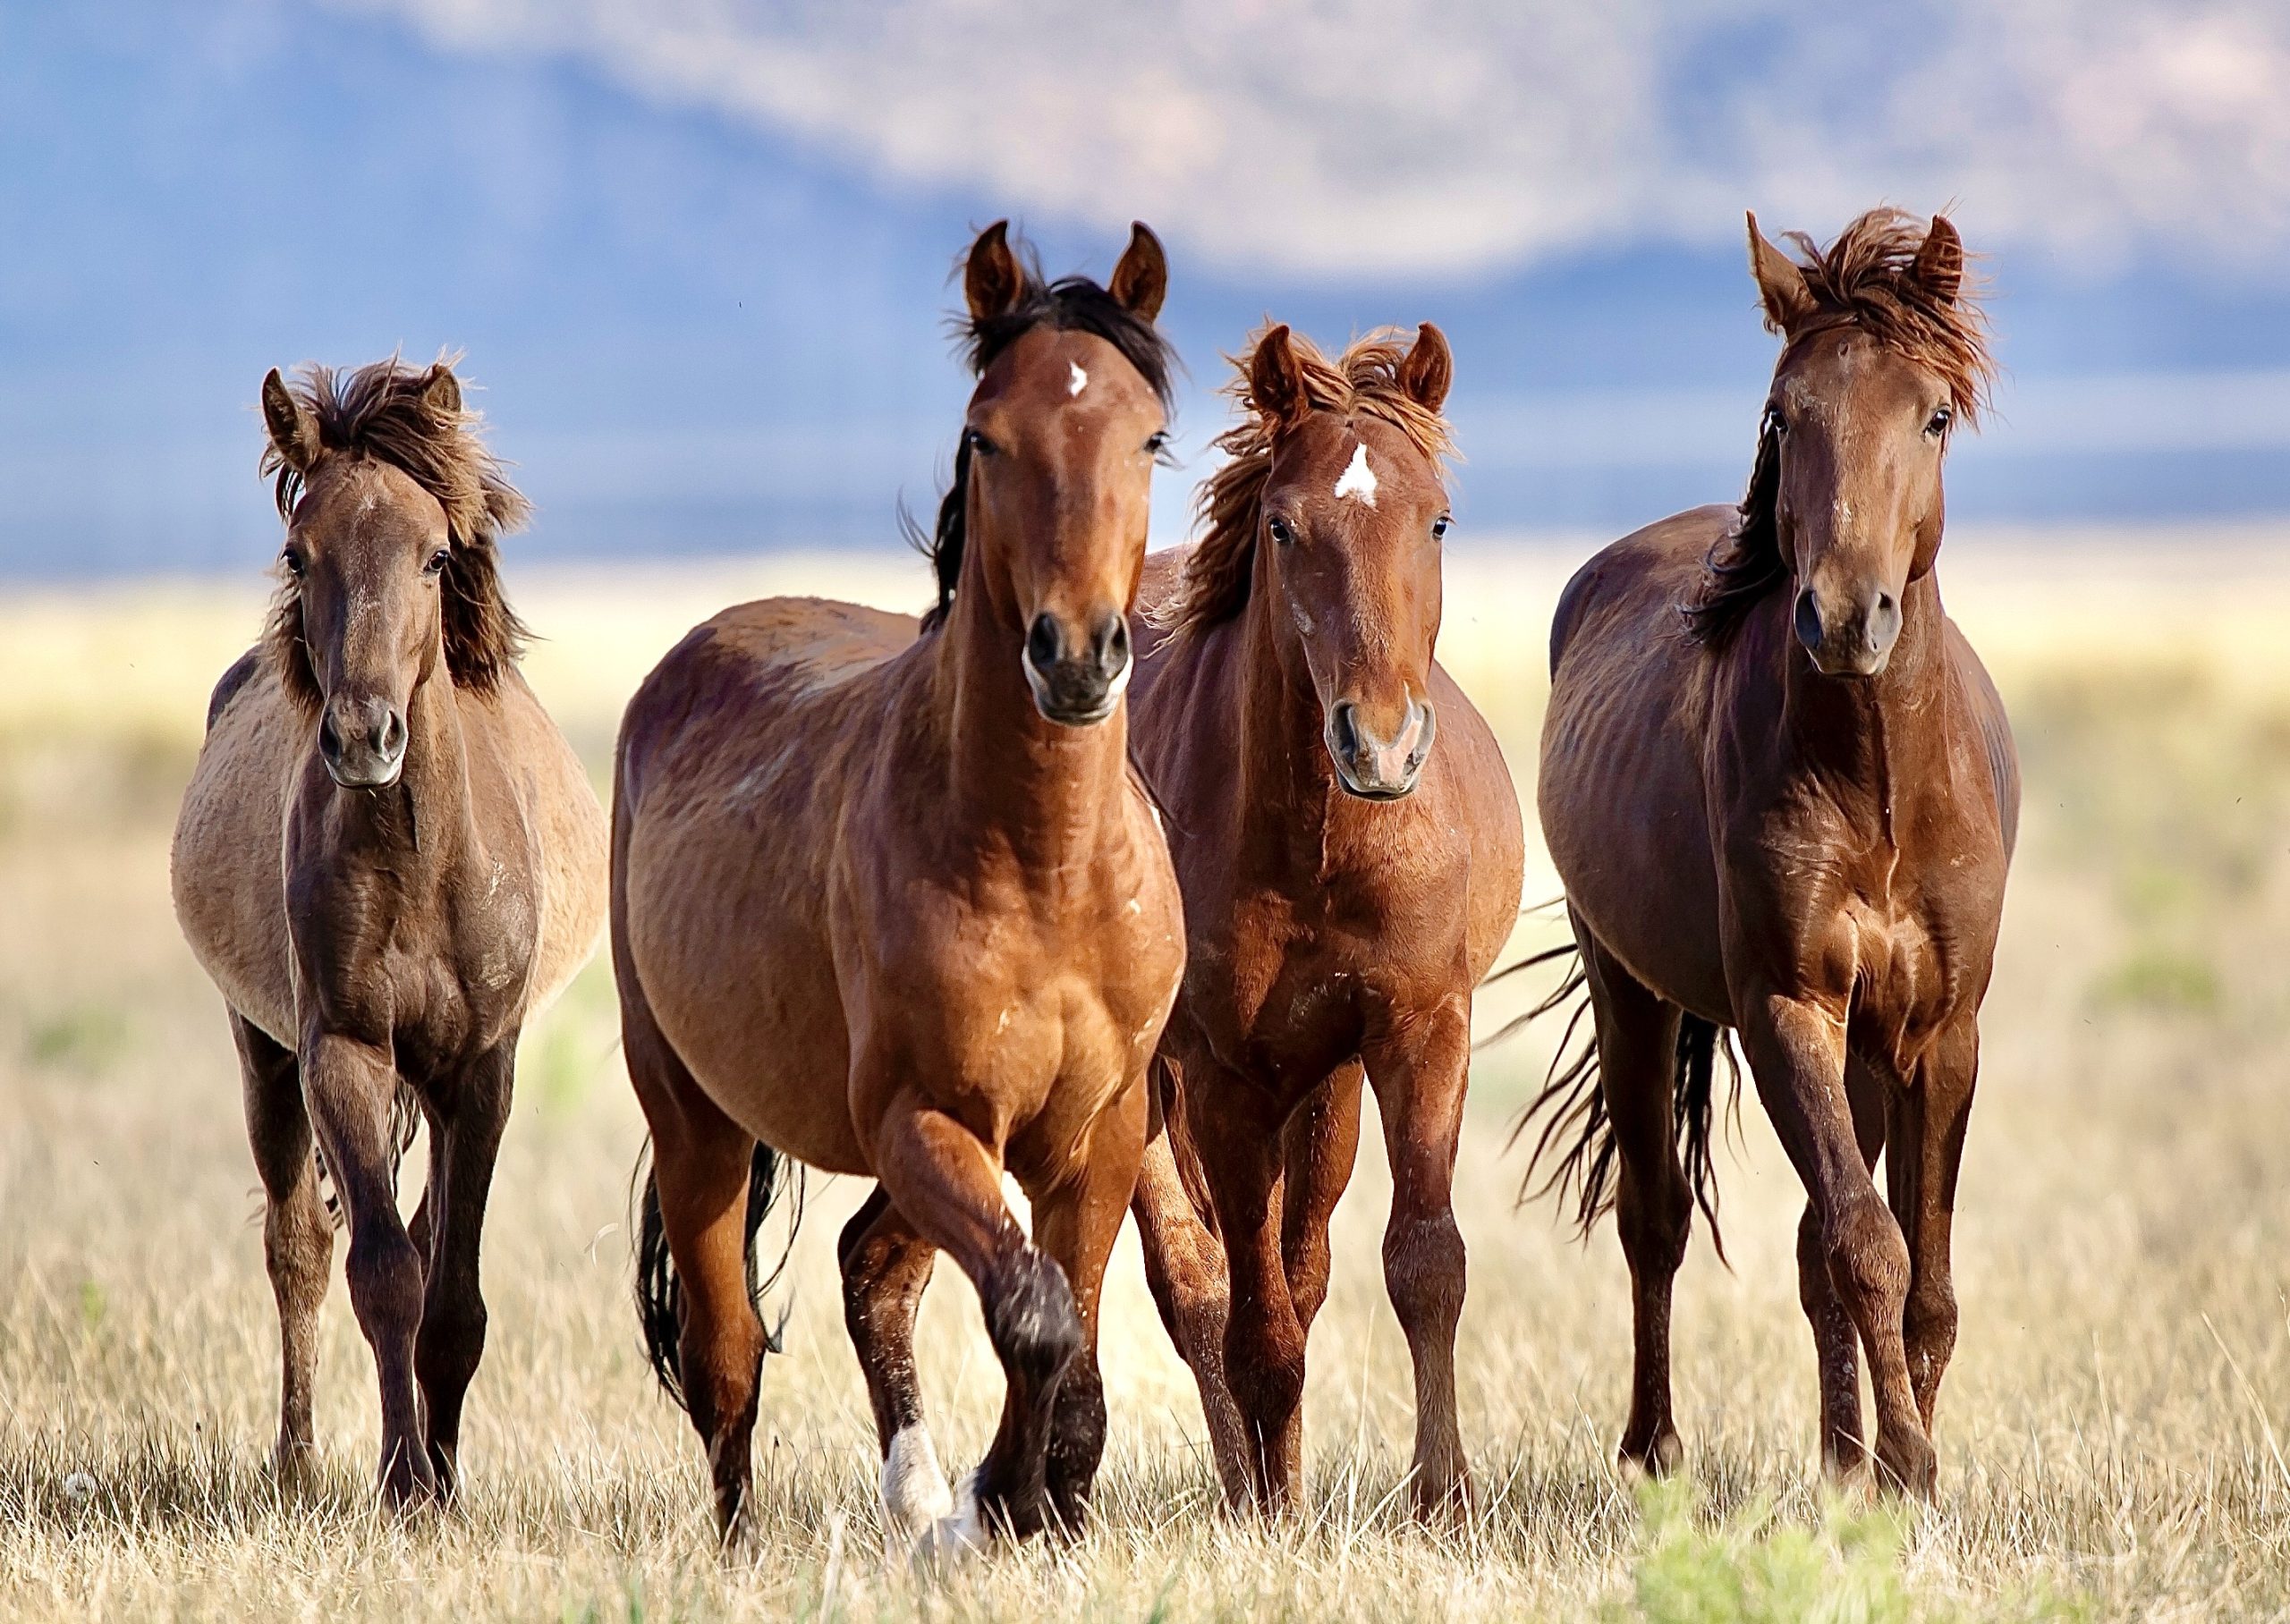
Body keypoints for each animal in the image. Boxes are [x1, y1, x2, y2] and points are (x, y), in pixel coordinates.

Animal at [171, 357, 608, 1505]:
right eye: (298, 551)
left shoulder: (480, 1071)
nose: (365, 737)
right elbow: (381, 1275)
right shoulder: (344, 1053)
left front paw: (440, 1479)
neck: (418, 863)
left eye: (437, 554)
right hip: (263, 1053)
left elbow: (452, 1293)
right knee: (299, 1250)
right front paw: (405, 1484)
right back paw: (297, 1464)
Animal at [614, 222, 1185, 1552]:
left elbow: (1072, 1340)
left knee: (872, 1269)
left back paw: (921, 1498)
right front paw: (1002, 1500)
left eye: (1148, 436)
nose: (1075, 655)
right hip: (696, 1119)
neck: (1043, 867)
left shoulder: (1096, 1133)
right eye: (988, 436)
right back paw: (755, 1540)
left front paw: (1032, 1502)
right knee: (728, 1358)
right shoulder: (925, 1118)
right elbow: (1035, 1315)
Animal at [1121, 324, 1525, 1516]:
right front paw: (1267, 1515)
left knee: (1298, 1272)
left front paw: (1444, 1496)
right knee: (1201, 1283)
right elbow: (1250, 1321)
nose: (1380, 744)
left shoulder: (1416, 1030)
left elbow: (1422, 1264)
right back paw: (1249, 1490)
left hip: (1326, 1083)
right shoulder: (1221, 1077)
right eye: (1282, 524)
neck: (1315, 847)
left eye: (1435, 518)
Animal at [1525, 209, 2018, 1496]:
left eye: (1932, 414)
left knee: (1803, 1247)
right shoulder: (1786, 1006)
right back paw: (1655, 1448)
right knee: (1654, 1222)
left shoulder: (1939, 1033)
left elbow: (1922, 1277)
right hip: (1630, 990)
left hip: (1865, 1049)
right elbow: (1867, 1246)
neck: (1880, 786)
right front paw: (1908, 1469)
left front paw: (1896, 1464)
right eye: (1784, 413)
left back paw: (1838, 1460)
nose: (1844, 617)